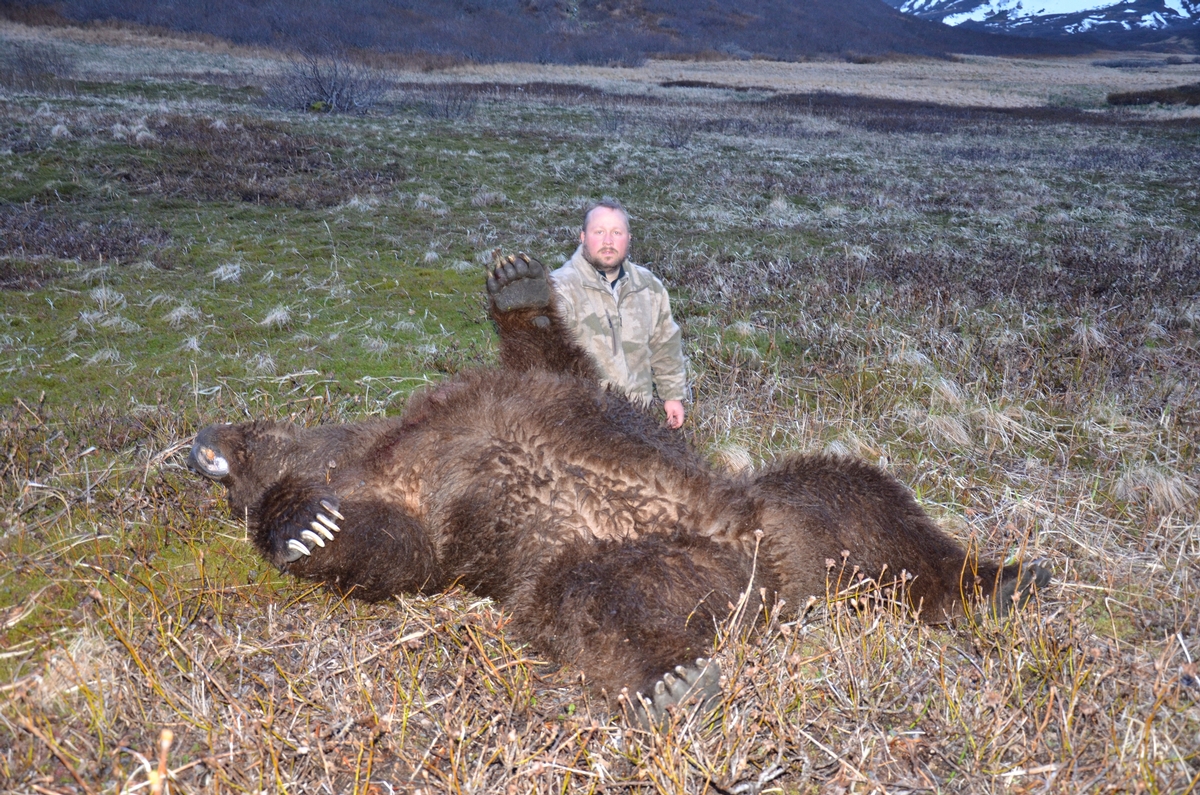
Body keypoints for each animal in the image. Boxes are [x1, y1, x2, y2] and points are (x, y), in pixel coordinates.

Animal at [189, 253, 1050, 725]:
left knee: (867, 497)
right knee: (590, 606)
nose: (201, 445)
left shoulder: (491, 408)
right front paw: (310, 529)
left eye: (246, 430)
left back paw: (1005, 581)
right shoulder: (423, 504)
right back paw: (674, 683)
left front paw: (517, 286)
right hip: (605, 560)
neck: (354, 458)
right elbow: (398, 551)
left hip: (788, 503)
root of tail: (773, 578)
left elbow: (555, 358)